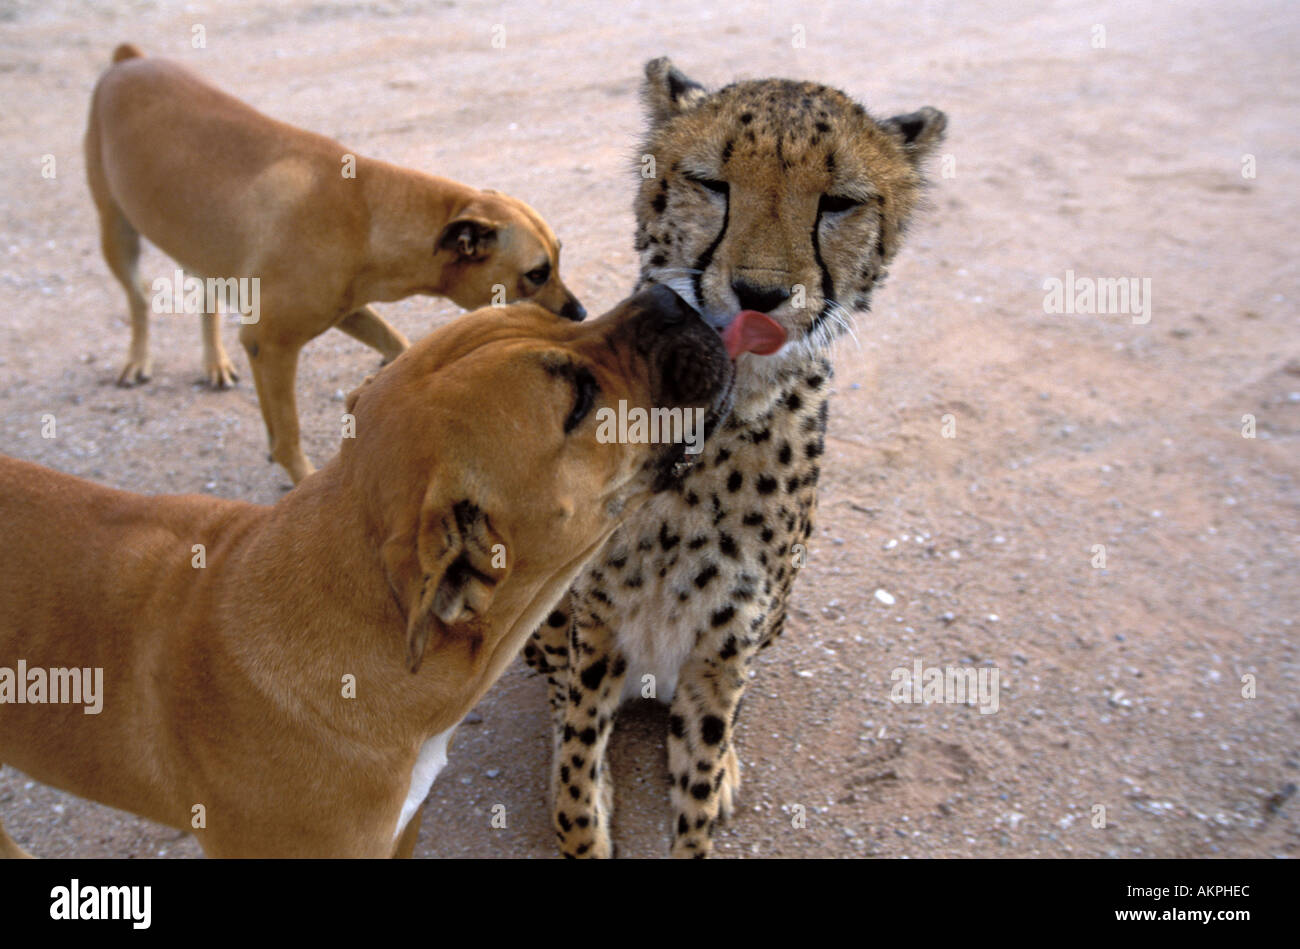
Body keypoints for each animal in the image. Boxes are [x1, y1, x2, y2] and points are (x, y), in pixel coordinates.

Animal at [522, 57, 946, 858]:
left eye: (839, 203)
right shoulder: (598, 614)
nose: (760, 293)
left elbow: (695, 794)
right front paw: (583, 811)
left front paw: (707, 786)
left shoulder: (725, 643)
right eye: (711, 183)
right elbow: (576, 775)